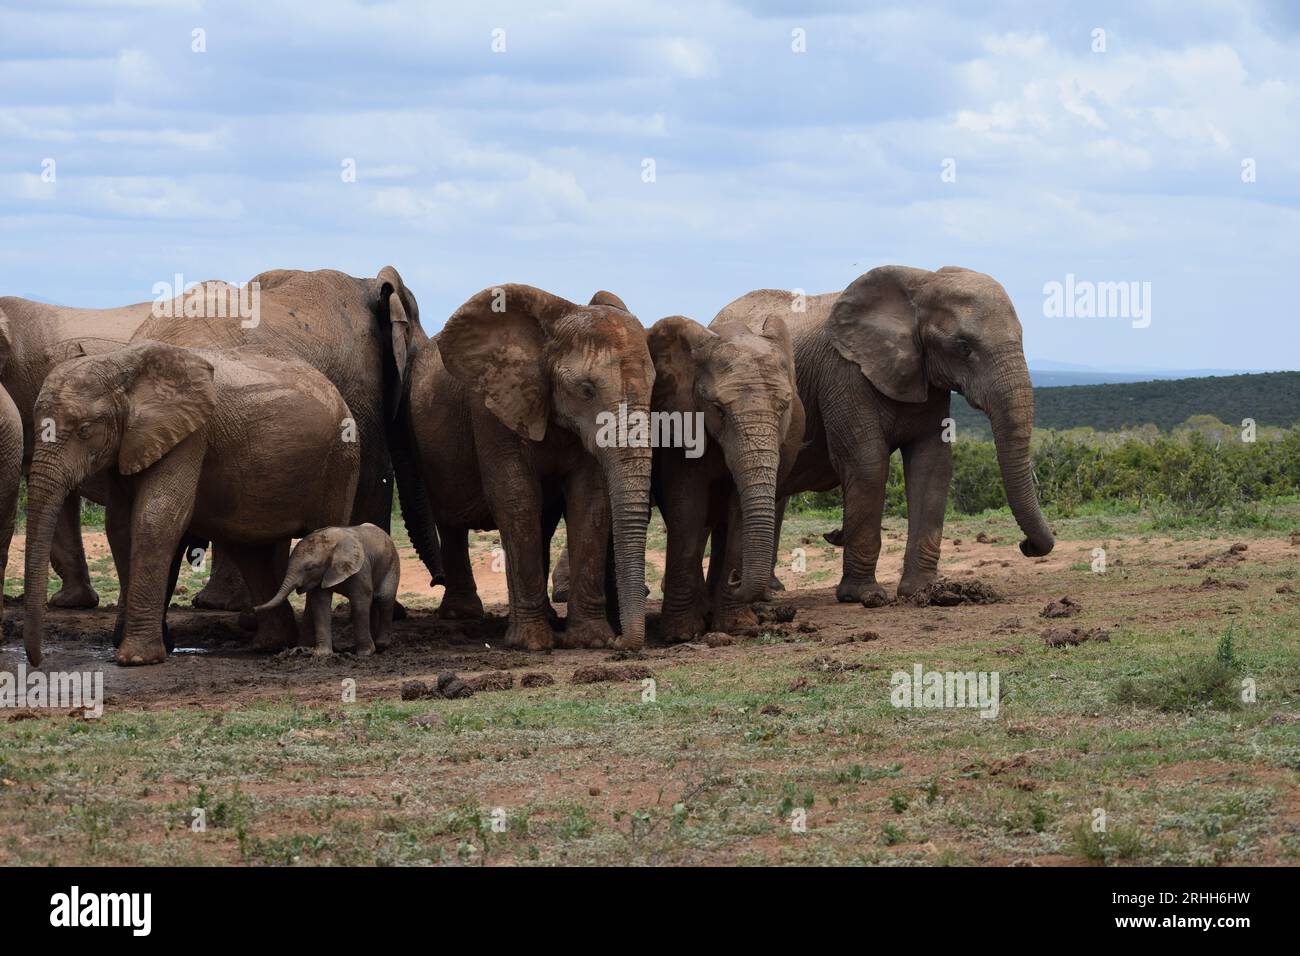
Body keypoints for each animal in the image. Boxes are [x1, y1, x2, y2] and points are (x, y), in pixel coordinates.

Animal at [22, 341, 359, 666]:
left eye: (84, 430)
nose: (38, 661)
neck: (122, 363)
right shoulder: (130, 444)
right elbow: (118, 525)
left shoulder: (191, 436)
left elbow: (157, 517)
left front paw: (136, 659)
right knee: (249, 550)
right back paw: (270, 645)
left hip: (341, 460)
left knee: (319, 531)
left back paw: (304, 647)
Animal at [254, 523, 399, 657]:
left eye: (310, 568)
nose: (254, 608)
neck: (332, 544)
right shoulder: (322, 574)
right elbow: (320, 603)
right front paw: (322, 654)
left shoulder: (360, 568)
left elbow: (360, 601)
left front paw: (365, 653)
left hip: (392, 563)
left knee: (384, 598)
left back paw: (381, 644)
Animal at [408, 285, 656, 652]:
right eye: (586, 390)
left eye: (654, 388)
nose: (621, 643)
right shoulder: (491, 404)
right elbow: (516, 495)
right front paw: (532, 644)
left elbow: (590, 499)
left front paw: (590, 640)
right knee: (451, 521)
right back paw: (462, 614)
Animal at [647, 312, 804, 641]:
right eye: (718, 409)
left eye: (784, 407)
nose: (736, 578)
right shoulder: (681, 417)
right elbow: (687, 507)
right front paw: (681, 634)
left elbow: (739, 512)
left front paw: (736, 626)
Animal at [713, 265, 1055, 605]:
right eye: (963, 345)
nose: (1026, 546)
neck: (921, 281)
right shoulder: (844, 374)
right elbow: (868, 465)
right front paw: (864, 596)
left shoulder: (926, 377)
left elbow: (932, 465)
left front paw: (924, 592)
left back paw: (770, 590)